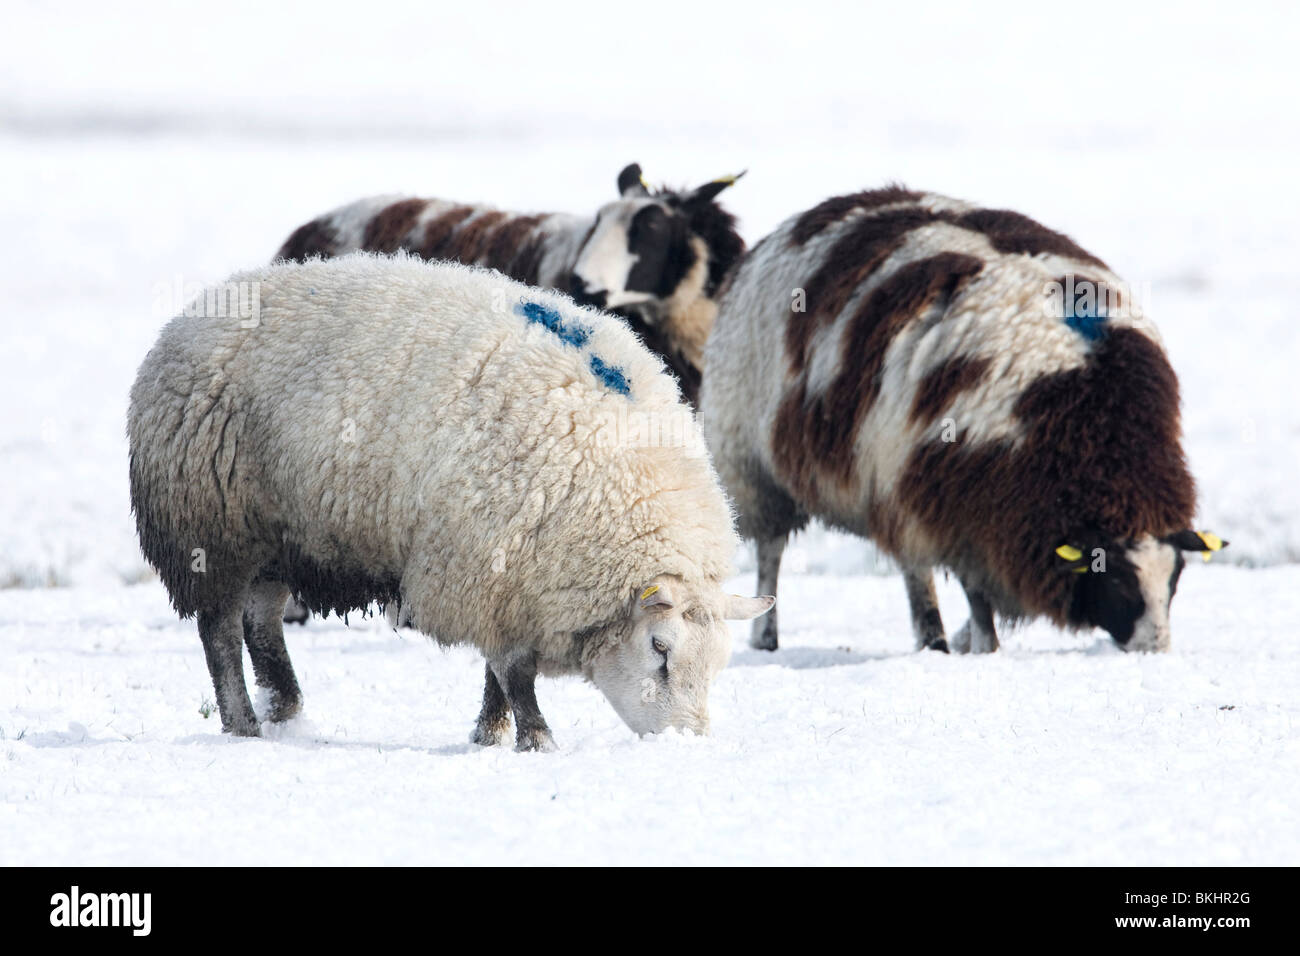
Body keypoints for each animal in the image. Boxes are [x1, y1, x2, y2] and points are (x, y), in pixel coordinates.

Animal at [128, 253, 773, 749]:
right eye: (660, 649)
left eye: (719, 663)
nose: (684, 741)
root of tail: (187, 318)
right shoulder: (485, 566)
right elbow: (514, 670)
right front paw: (536, 739)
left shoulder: (510, 580)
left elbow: (498, 672)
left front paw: (489, 734)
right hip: (211, 526)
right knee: (219, 633)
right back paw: (244, 724)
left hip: (279, 532)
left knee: (260, 621)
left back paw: (287, 712)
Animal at [699, 186, 1225, 654]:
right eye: (1115, 579)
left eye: (1175, 578)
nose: (1153, 649)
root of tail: (809, 216)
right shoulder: (956, 505)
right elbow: (972, 591)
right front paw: (982, 645)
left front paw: (974, 638)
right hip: (758, 463)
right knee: (777, 551)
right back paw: (777, 637)